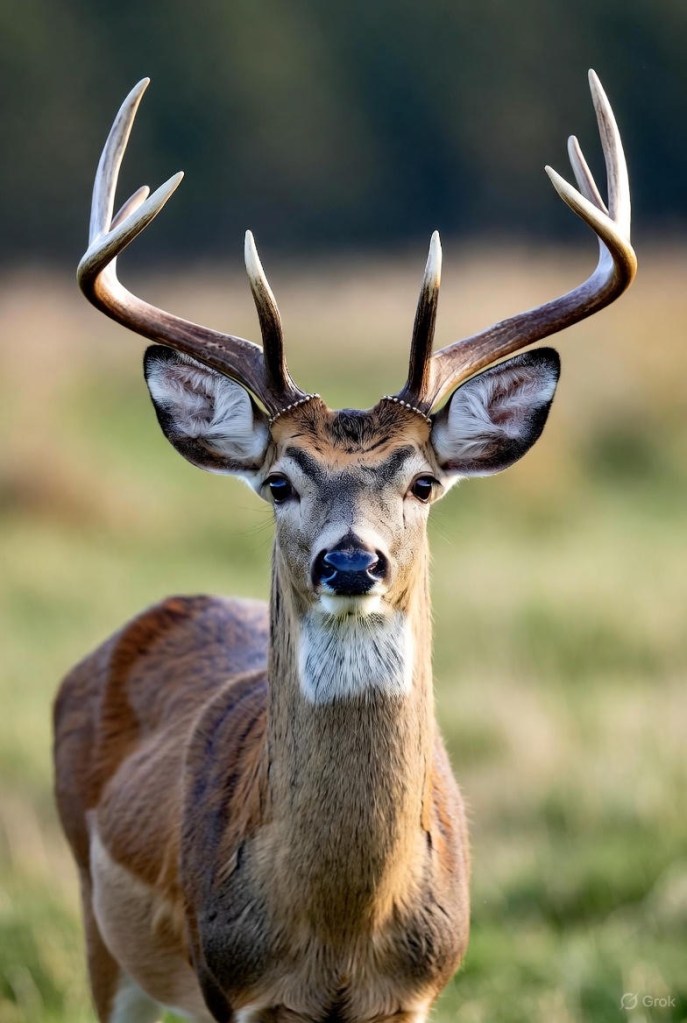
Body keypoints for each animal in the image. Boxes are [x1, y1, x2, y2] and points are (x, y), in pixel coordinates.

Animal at [53, 70, 636, 1023]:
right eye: (279, 482)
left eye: (422, 481)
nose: (351, 561)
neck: (337, 931)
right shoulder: (232, 987)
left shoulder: (418, 988)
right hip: (105, 938)